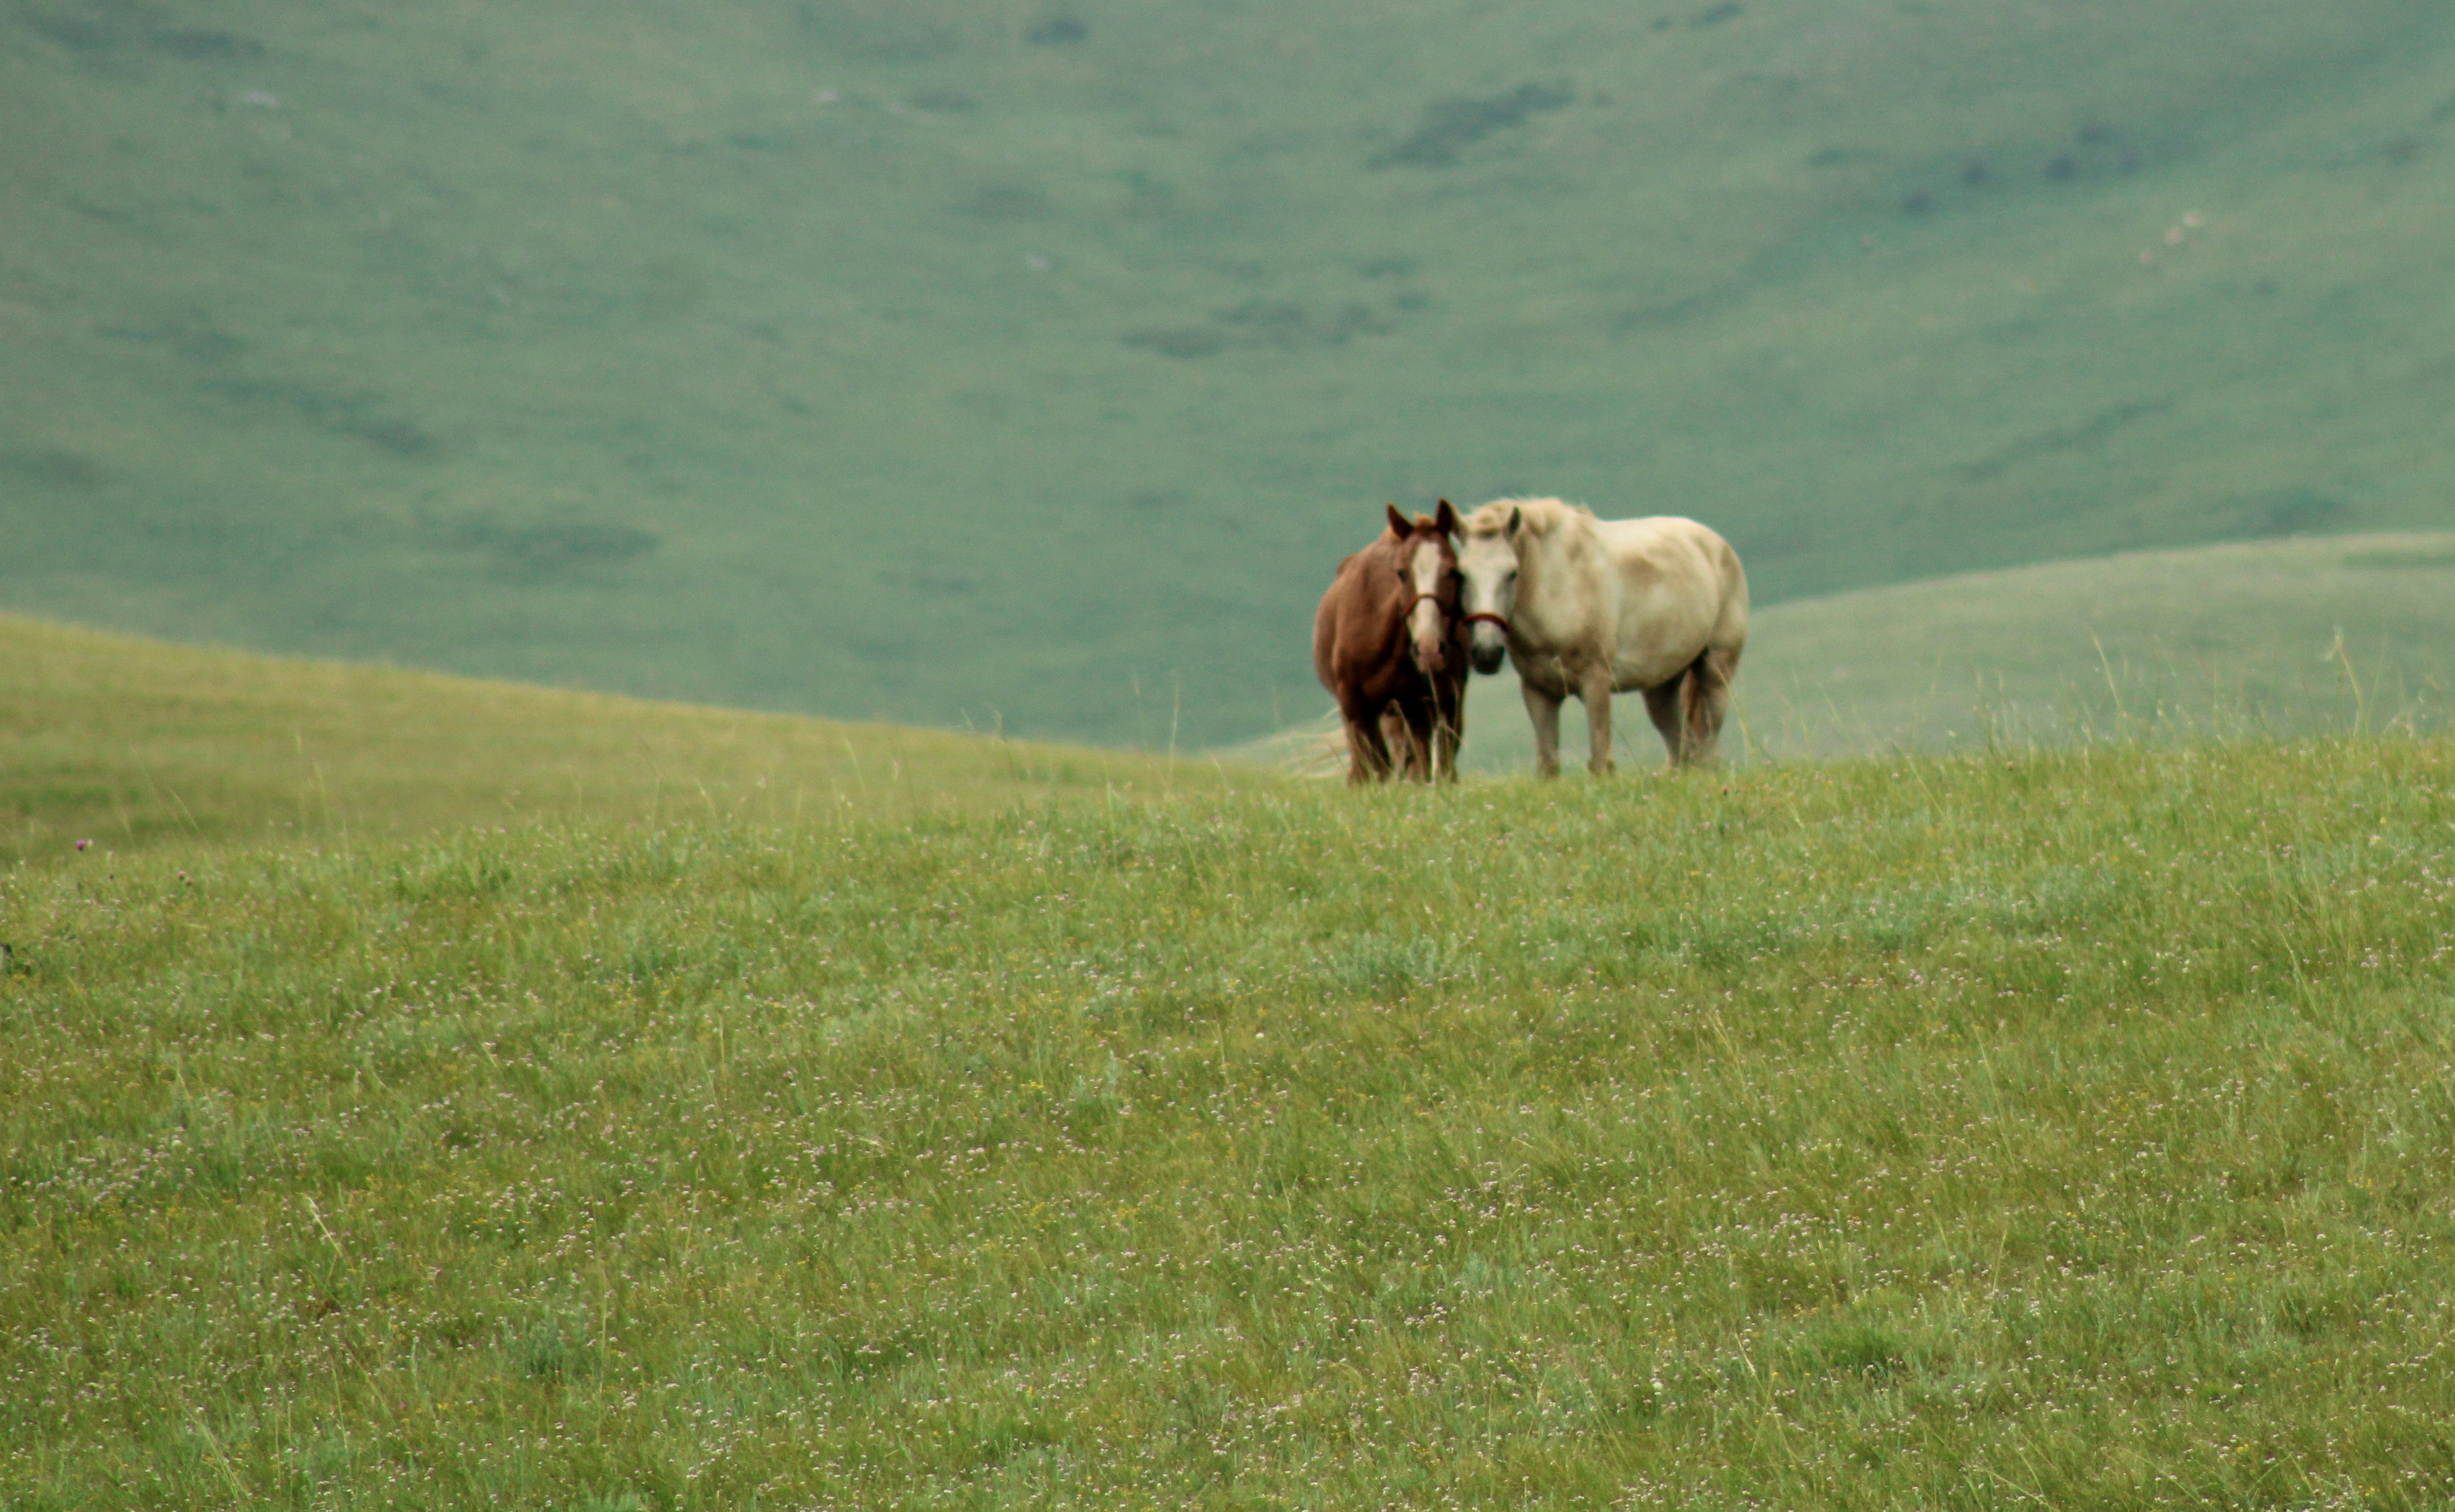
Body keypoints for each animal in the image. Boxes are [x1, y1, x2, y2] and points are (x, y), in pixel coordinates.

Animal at [1313, 501, 1470, 784]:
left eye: (1453, 571)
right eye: (1402, 573)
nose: (1429, 649)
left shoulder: (1434, 704)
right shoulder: (1354, 704)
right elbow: (1369, 771)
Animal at [1456, 497, 1747, 776]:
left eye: (1512, 573)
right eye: (1461, 575)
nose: (1487, 654)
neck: (1561, 587)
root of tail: (1719, 545)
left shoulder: (1596, 683)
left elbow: (1600, 763)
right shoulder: (1539, 692)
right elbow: (1548, 767)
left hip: (1715, 674)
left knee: (1708, 747)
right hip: (1661, 685)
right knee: (1681, 750)